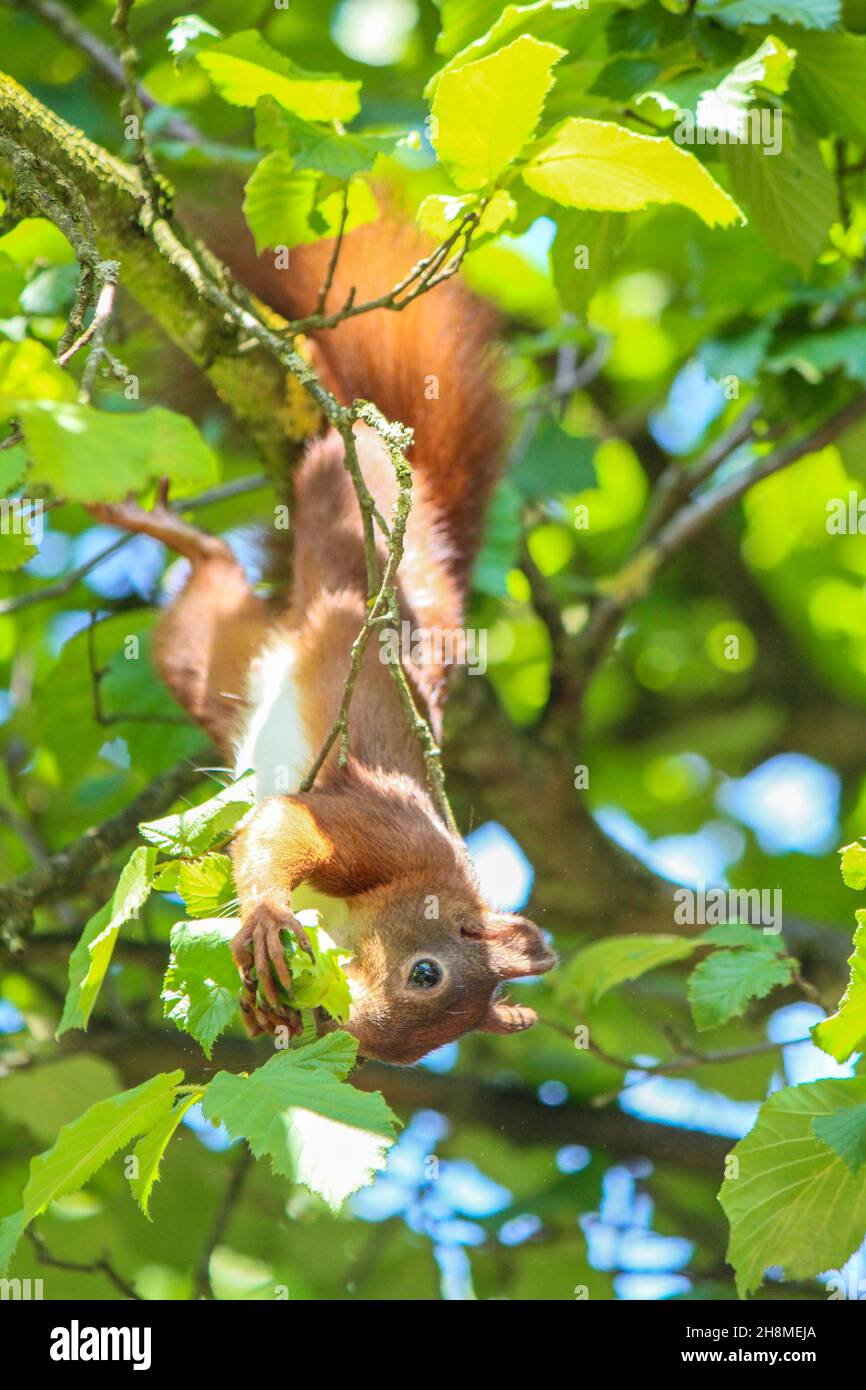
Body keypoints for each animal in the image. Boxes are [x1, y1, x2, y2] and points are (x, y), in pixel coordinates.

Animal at [90, 215, 556, 1063]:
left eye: (394, 1056)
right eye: (427, 972)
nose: (351, 1028)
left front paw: (266, 1012)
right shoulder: (388, 831)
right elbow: (281, 823)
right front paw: (268, 917)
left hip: (215, 660)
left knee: (211, 587)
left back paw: (179, 536)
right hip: (343, 498)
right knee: (327, 467)